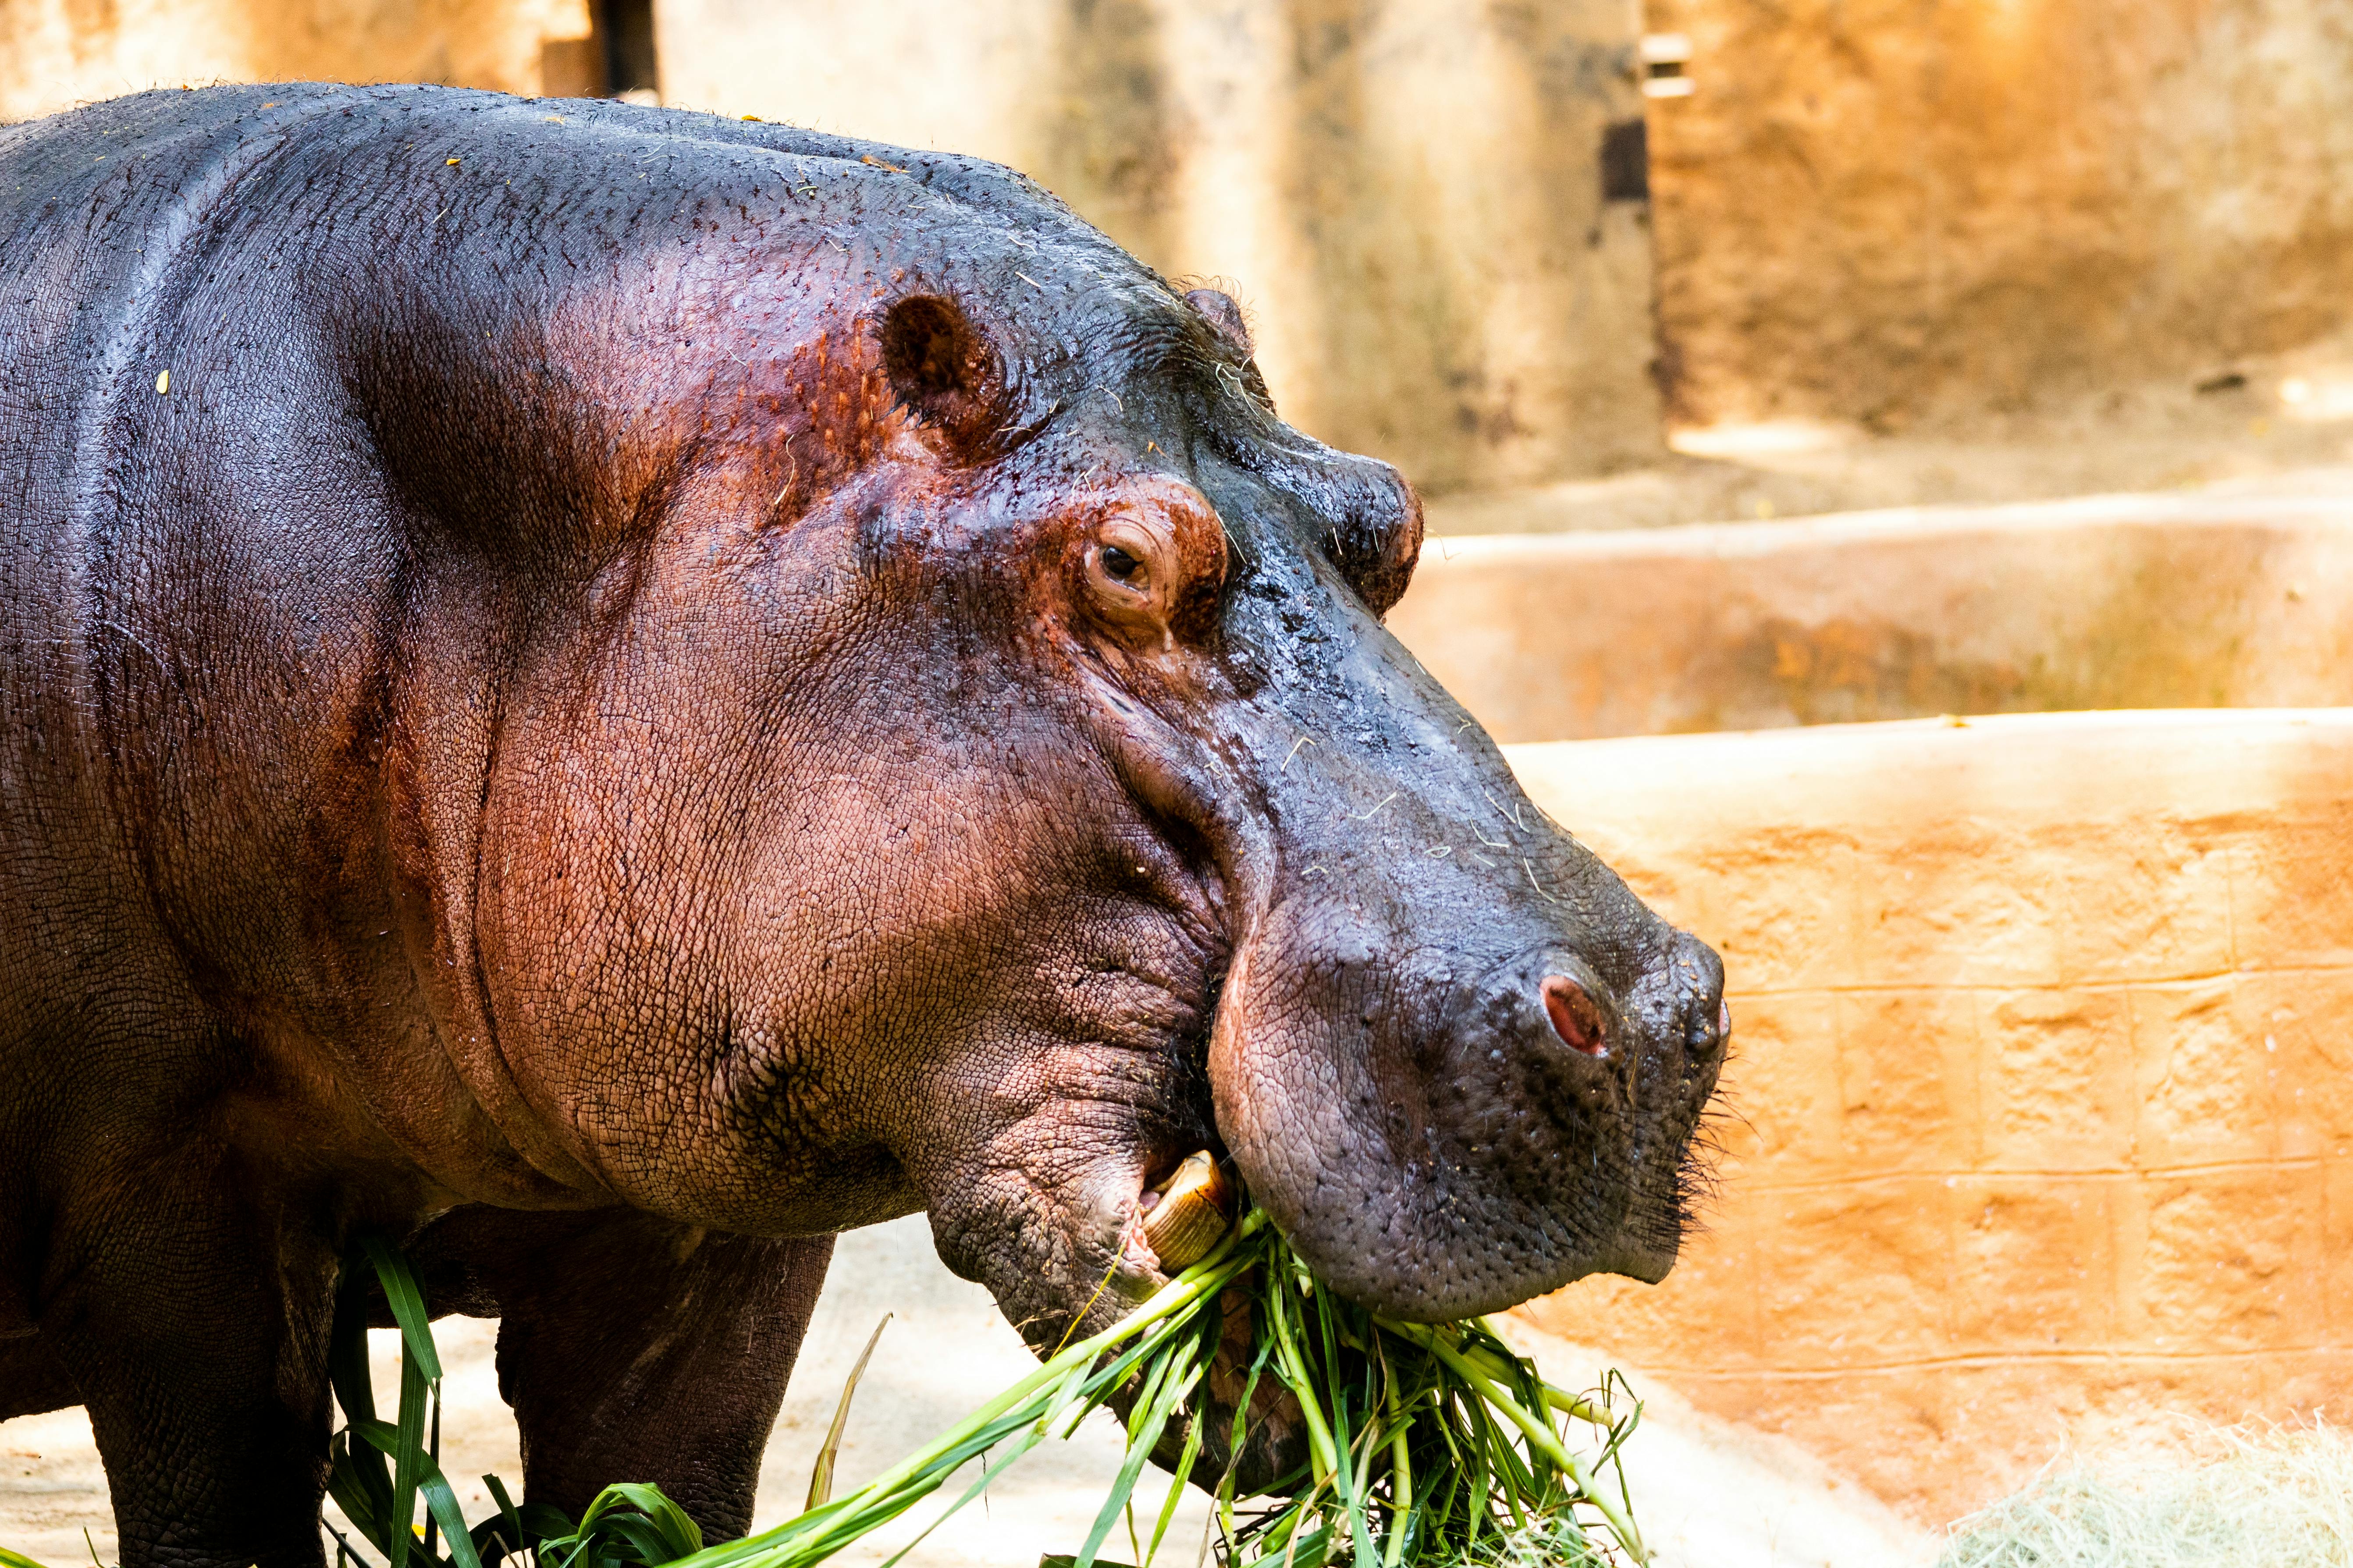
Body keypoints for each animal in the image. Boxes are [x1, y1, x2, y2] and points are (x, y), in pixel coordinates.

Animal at [0, 83, 1727, 1565]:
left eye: (1393, 515)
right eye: (1122, 562)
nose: (1657, 1012)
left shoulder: (701, 1220)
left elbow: (657, 1486)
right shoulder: (173, 1198)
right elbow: (221, 1497)